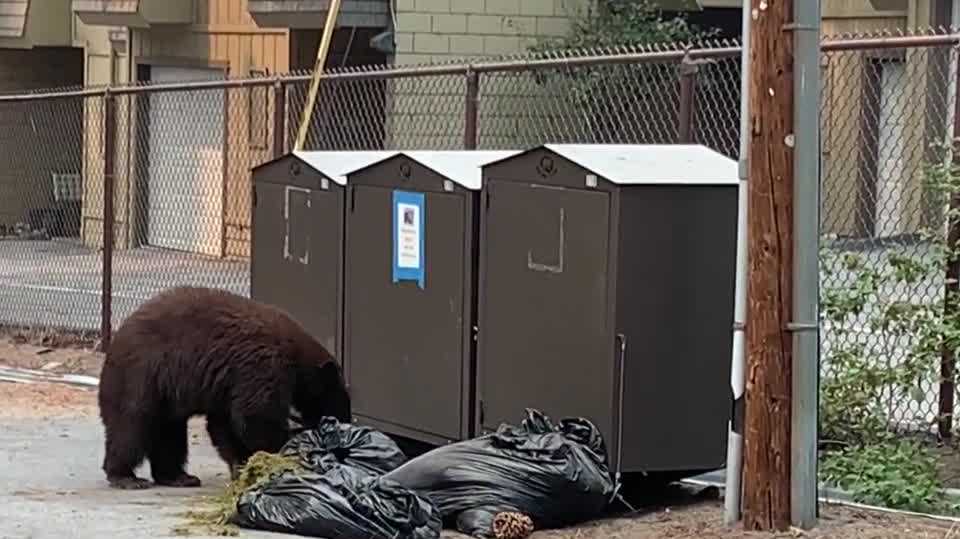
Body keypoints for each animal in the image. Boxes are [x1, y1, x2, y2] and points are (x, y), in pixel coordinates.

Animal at [97, 285, 351, 490]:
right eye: (340, 403)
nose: (344, 422)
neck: (296, 355)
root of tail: (113, 344)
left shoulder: (227, 386)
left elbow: (225, 425)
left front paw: (243, 466)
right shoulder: (263, 366)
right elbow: (255, 416)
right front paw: (277, 452)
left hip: (164, 395)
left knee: (169, 434)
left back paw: (179, 476)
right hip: (141, 376)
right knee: (132, 425)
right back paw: (126, 477)